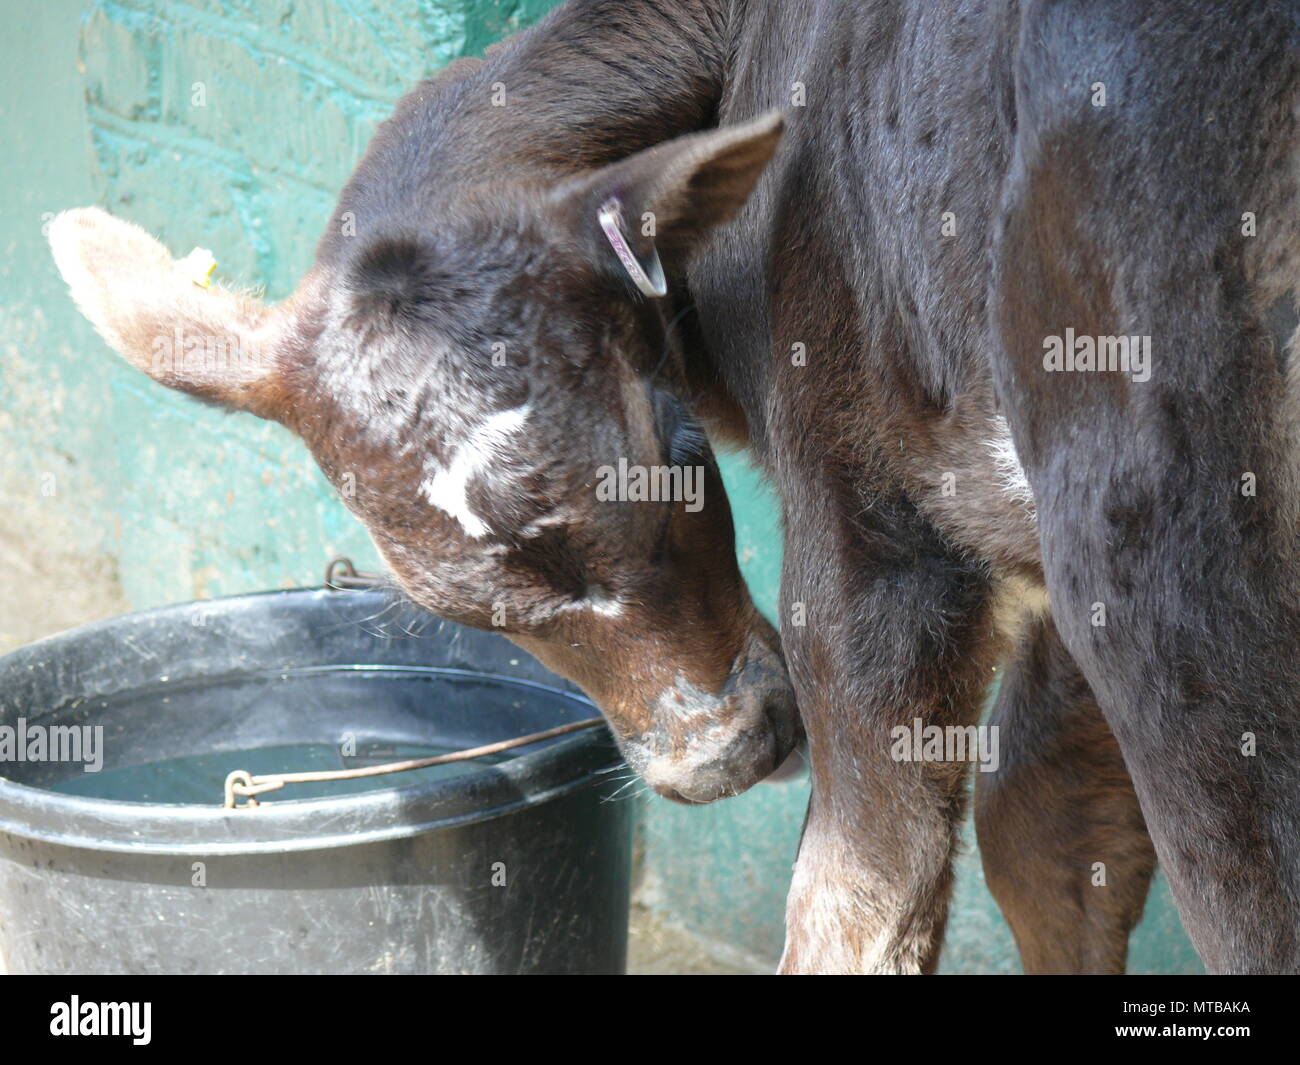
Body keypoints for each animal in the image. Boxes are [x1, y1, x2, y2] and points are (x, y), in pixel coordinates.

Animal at [48, 0, 1300, 973]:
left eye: (679, 448)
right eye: (451, 601)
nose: (723, 751)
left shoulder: (871, 515)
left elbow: (856, 897)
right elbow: (1041, 823)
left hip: (1157, 531)